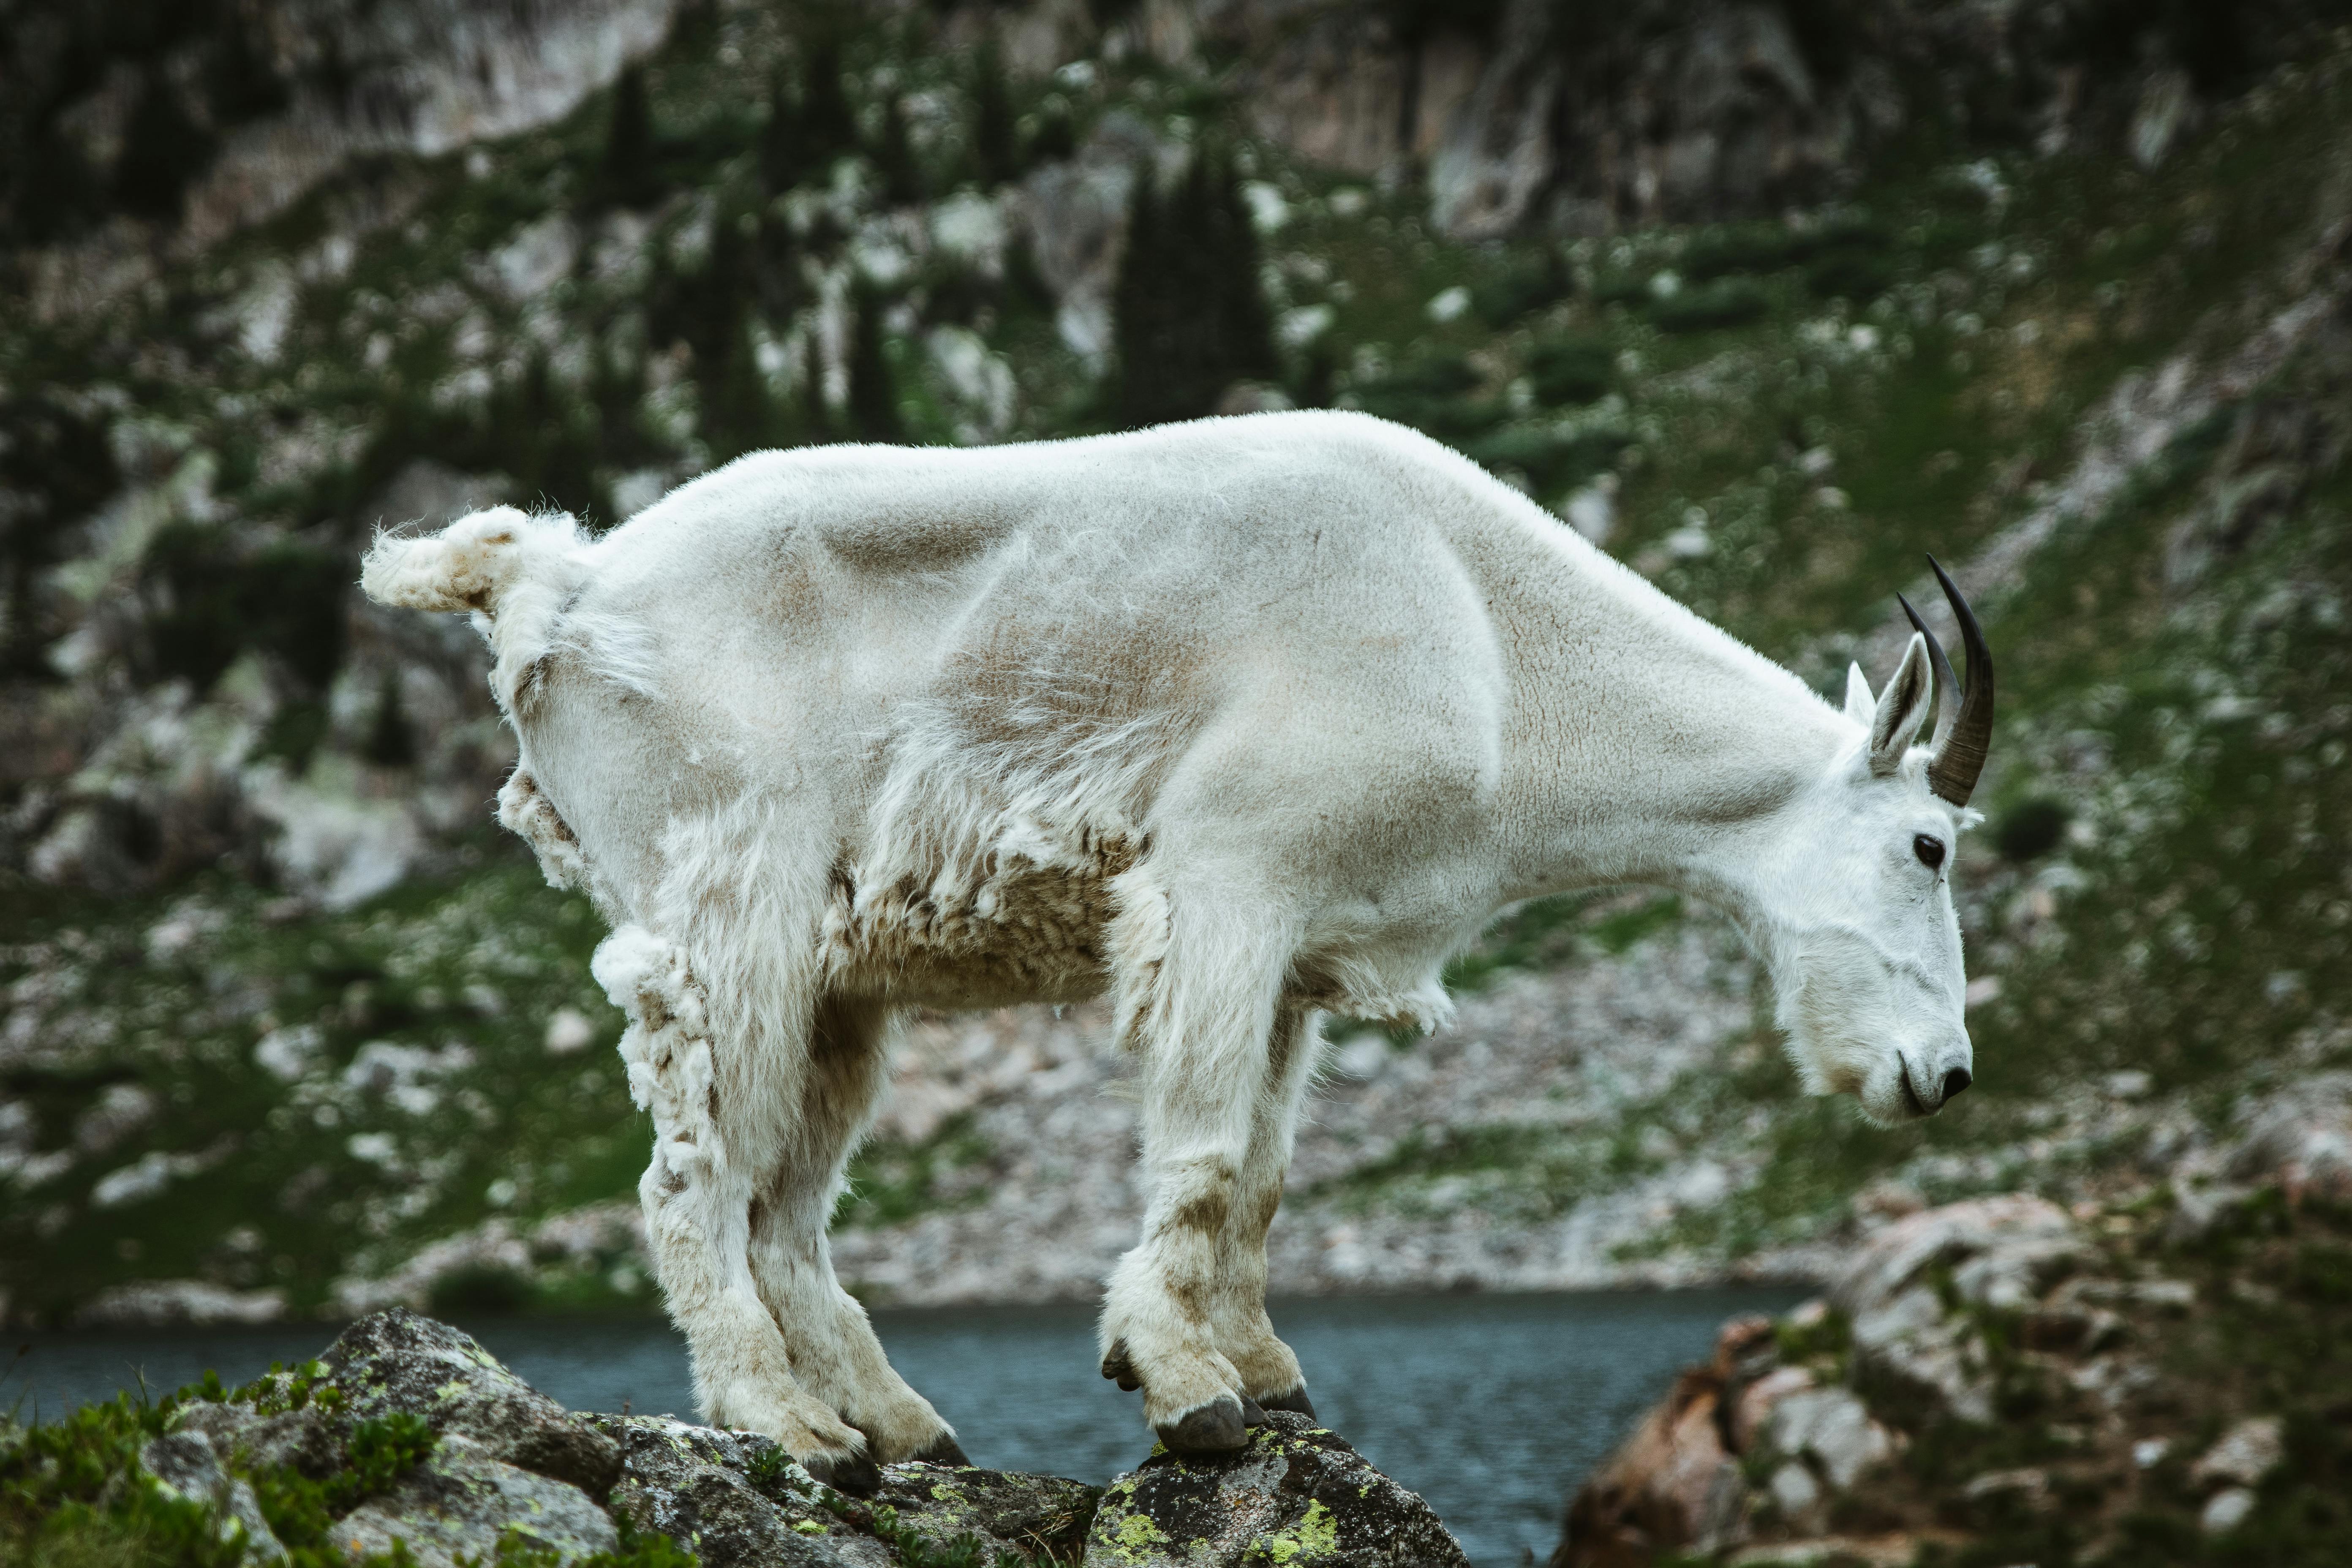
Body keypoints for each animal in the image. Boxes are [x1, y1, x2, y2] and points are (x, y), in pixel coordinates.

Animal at [360, 410, 1993, 1487]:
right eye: (1927, 844)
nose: (1942, 1075)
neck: (1493, 647)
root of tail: (550, 594)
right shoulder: (1228, 882)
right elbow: (1202, 1147)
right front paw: (1183, 1383)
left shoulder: (1306, 953)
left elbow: (1260, 1173)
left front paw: (1268, 1381)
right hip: (721, 912)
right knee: (693, 1180)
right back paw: (790, 1429)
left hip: (836, 982)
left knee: (787, 1207)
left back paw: (904, 1426)